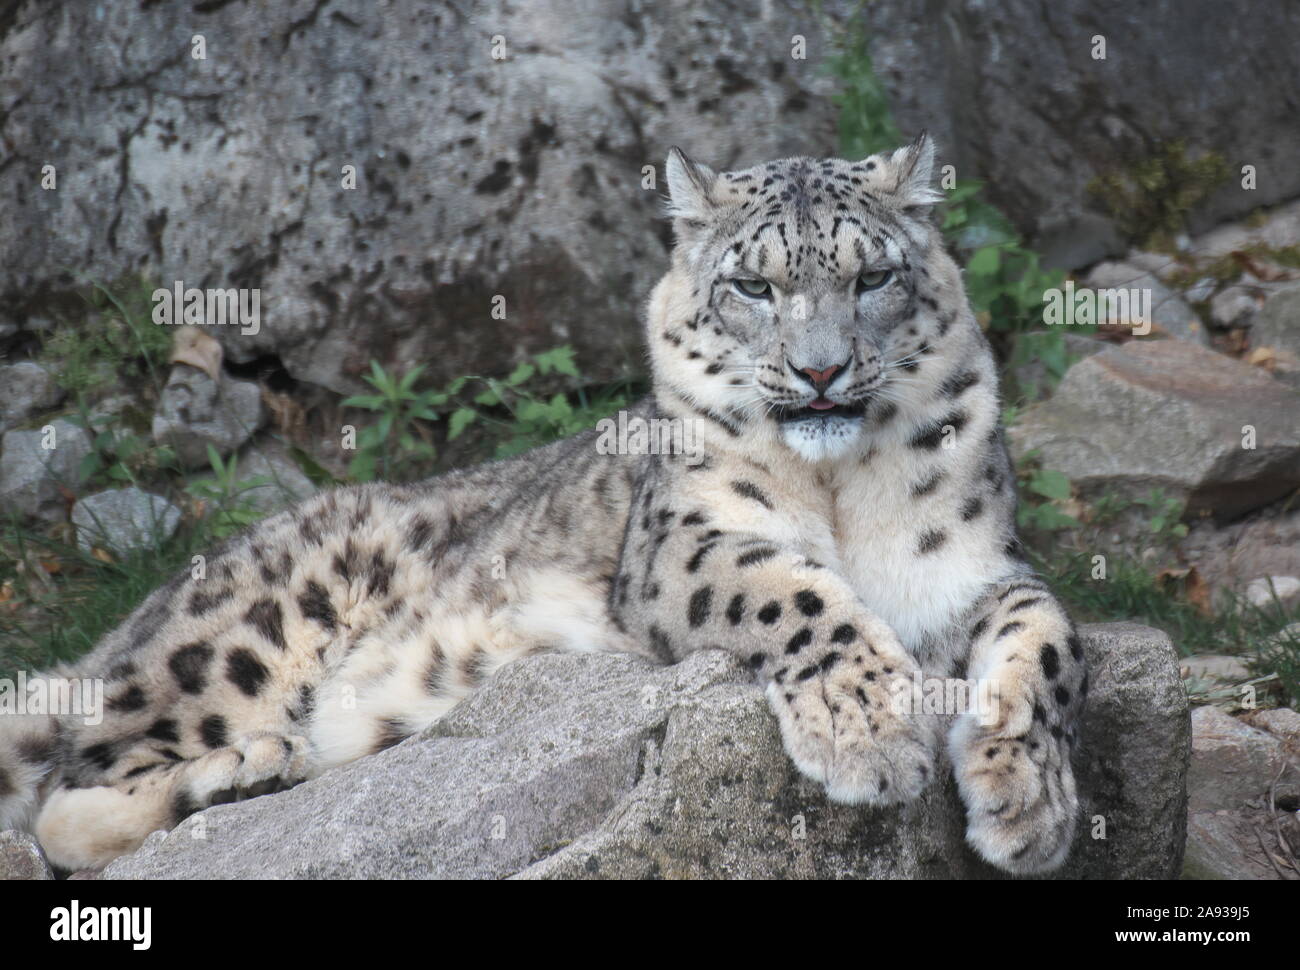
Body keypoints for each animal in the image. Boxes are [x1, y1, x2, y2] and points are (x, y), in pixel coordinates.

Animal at [0, 134, 1085, 875]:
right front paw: (870, 734)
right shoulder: (685, 542)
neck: (840, 492)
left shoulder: (972, 572)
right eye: (751, 285)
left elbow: (1047, 641)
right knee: (65, 794)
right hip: (241, 638)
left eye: (873, 276)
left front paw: (1028, 797)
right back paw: (247, 769)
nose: (821, 372)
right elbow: (795, 593)